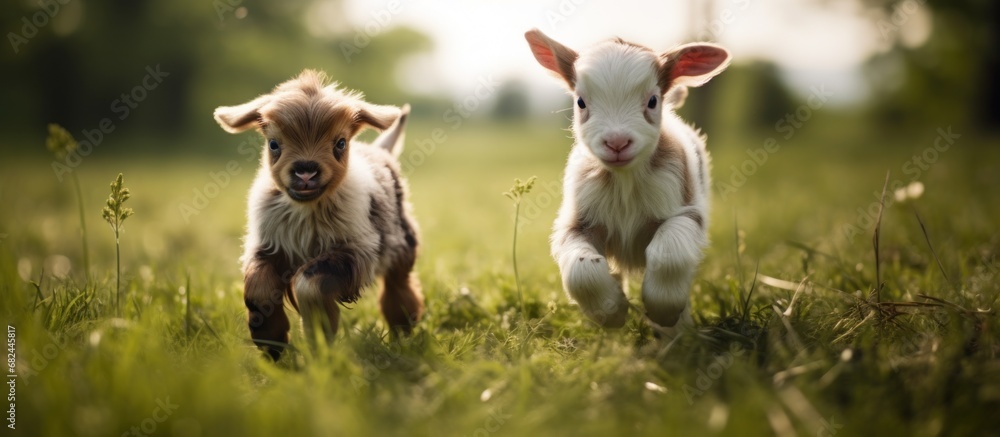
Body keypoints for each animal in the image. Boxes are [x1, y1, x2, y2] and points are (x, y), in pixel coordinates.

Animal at [213, 70, 423, 359]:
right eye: (273, 144)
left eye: (341, 143)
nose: (305, 171)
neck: (308, 209)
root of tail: (381, 152)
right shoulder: (266, 246)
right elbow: (258, 289)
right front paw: (272, 343)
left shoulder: (357, 250)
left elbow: (309, 281)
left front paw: (318, 341)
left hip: (400, 246)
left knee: (399, 290)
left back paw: (402, 336)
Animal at [524, 29, 730, 334]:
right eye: (581, 102)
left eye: (653, 100)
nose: (617, 142)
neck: (624, 182)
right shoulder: (577, 223)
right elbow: (582, 270)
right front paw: (611, 312)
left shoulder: (686, 211)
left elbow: (670, 253)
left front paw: (664, 313)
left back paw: (679, 333)